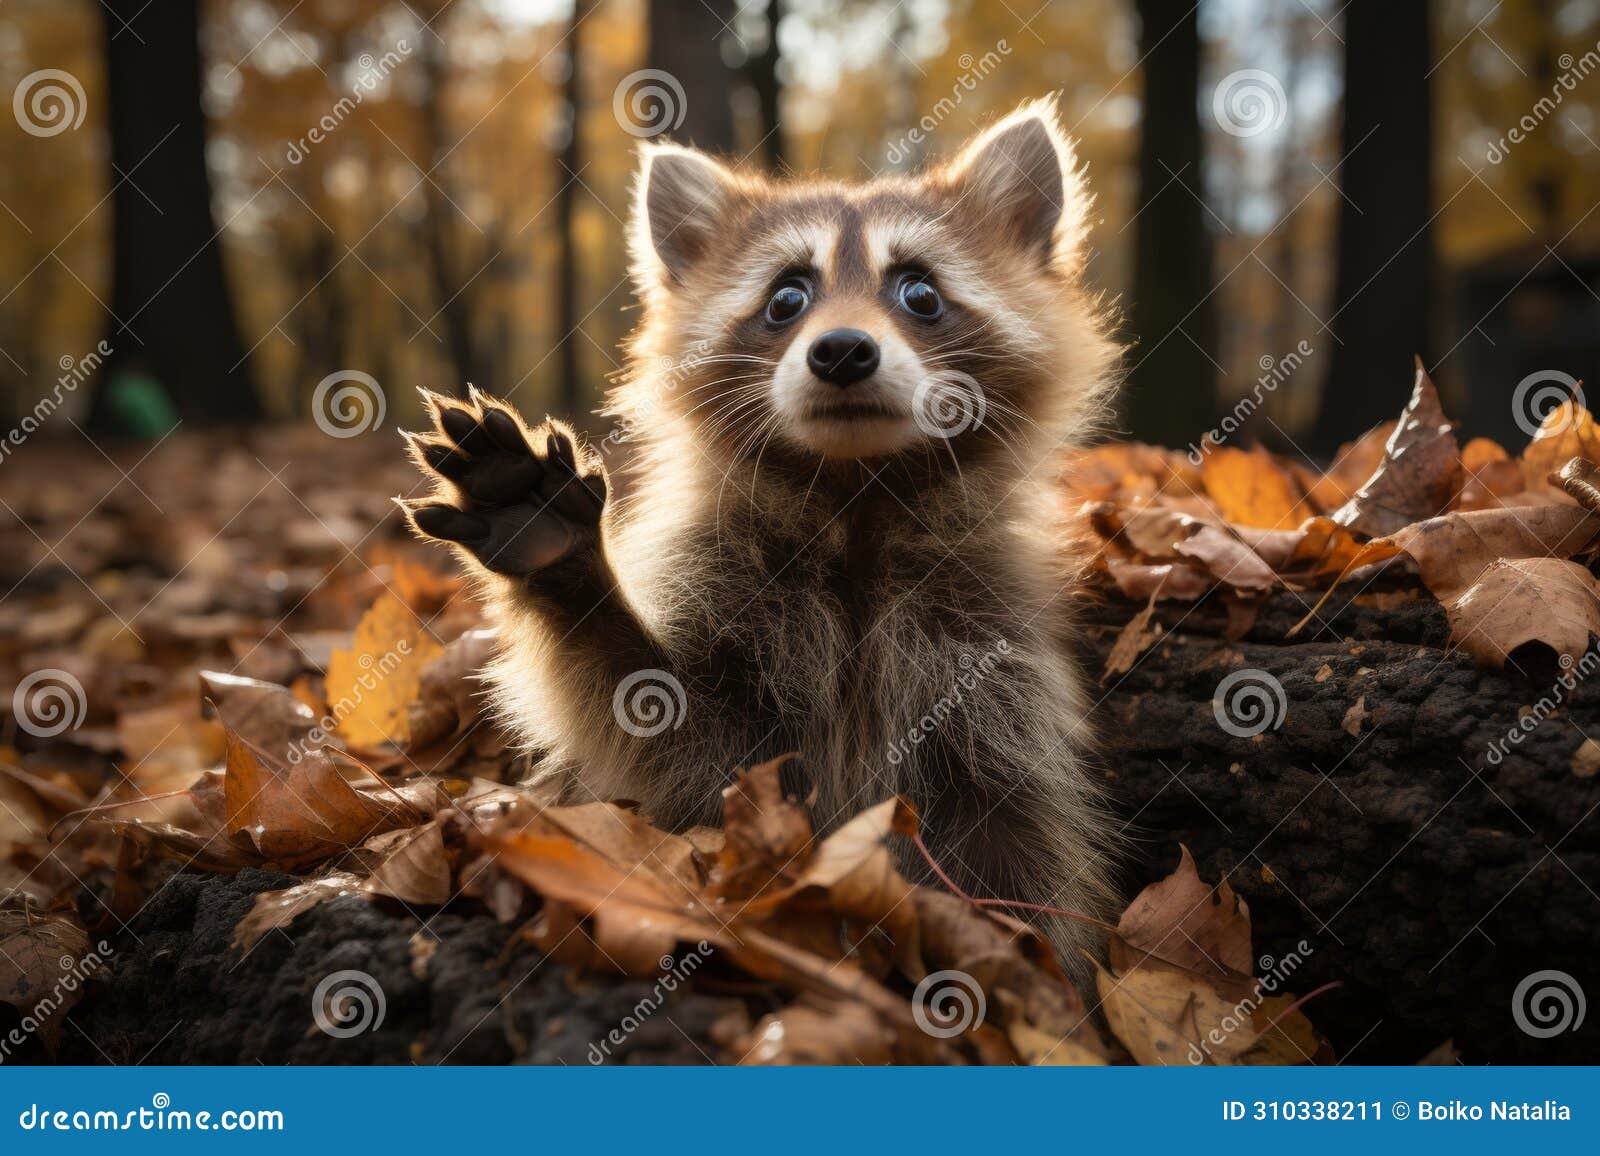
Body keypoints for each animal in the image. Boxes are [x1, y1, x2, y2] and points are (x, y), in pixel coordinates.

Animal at [401, 98, 1124, 964]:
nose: (842, 351)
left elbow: (1016, 848)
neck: (857, 496)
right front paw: (571, 574)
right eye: (786, 299)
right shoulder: (727, 617)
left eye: (919, 292)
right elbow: (662, 727)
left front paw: (1029, 964)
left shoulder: (992, 658)